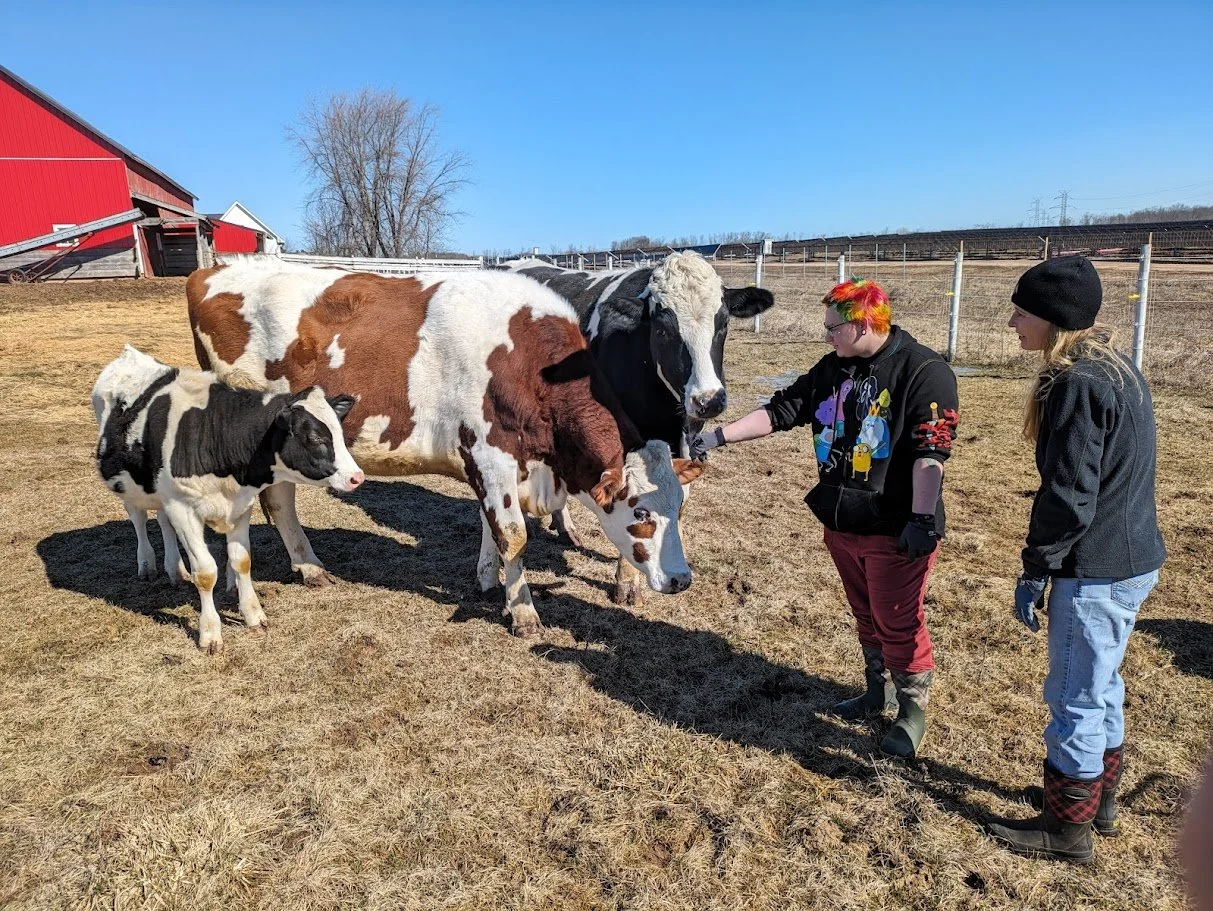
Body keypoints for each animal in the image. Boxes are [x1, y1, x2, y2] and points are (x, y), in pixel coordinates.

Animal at [92, 344, 365, 653]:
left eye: (340, 433)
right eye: (315, 438)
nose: (357, 477)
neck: (217, 434)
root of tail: (130, 354)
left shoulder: (240, 505)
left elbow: (241, 560)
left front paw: (254, 616)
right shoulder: (184, 508)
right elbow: (205, 572)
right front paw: (210, 634)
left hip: (162, 491)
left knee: (162, 521)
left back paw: (176, 569)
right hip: (129, 480)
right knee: (137, 516)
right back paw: (147, 564)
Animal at [186, 260, 705, 637]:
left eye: (680, 506)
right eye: (641, 513)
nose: (682, 580)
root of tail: (211, 272)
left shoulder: (497, 467)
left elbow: (491, 525)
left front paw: (489, 579)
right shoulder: (491, 453)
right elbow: (514, 535)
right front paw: (522, 611)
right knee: (274, 501)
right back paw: (302, 568)